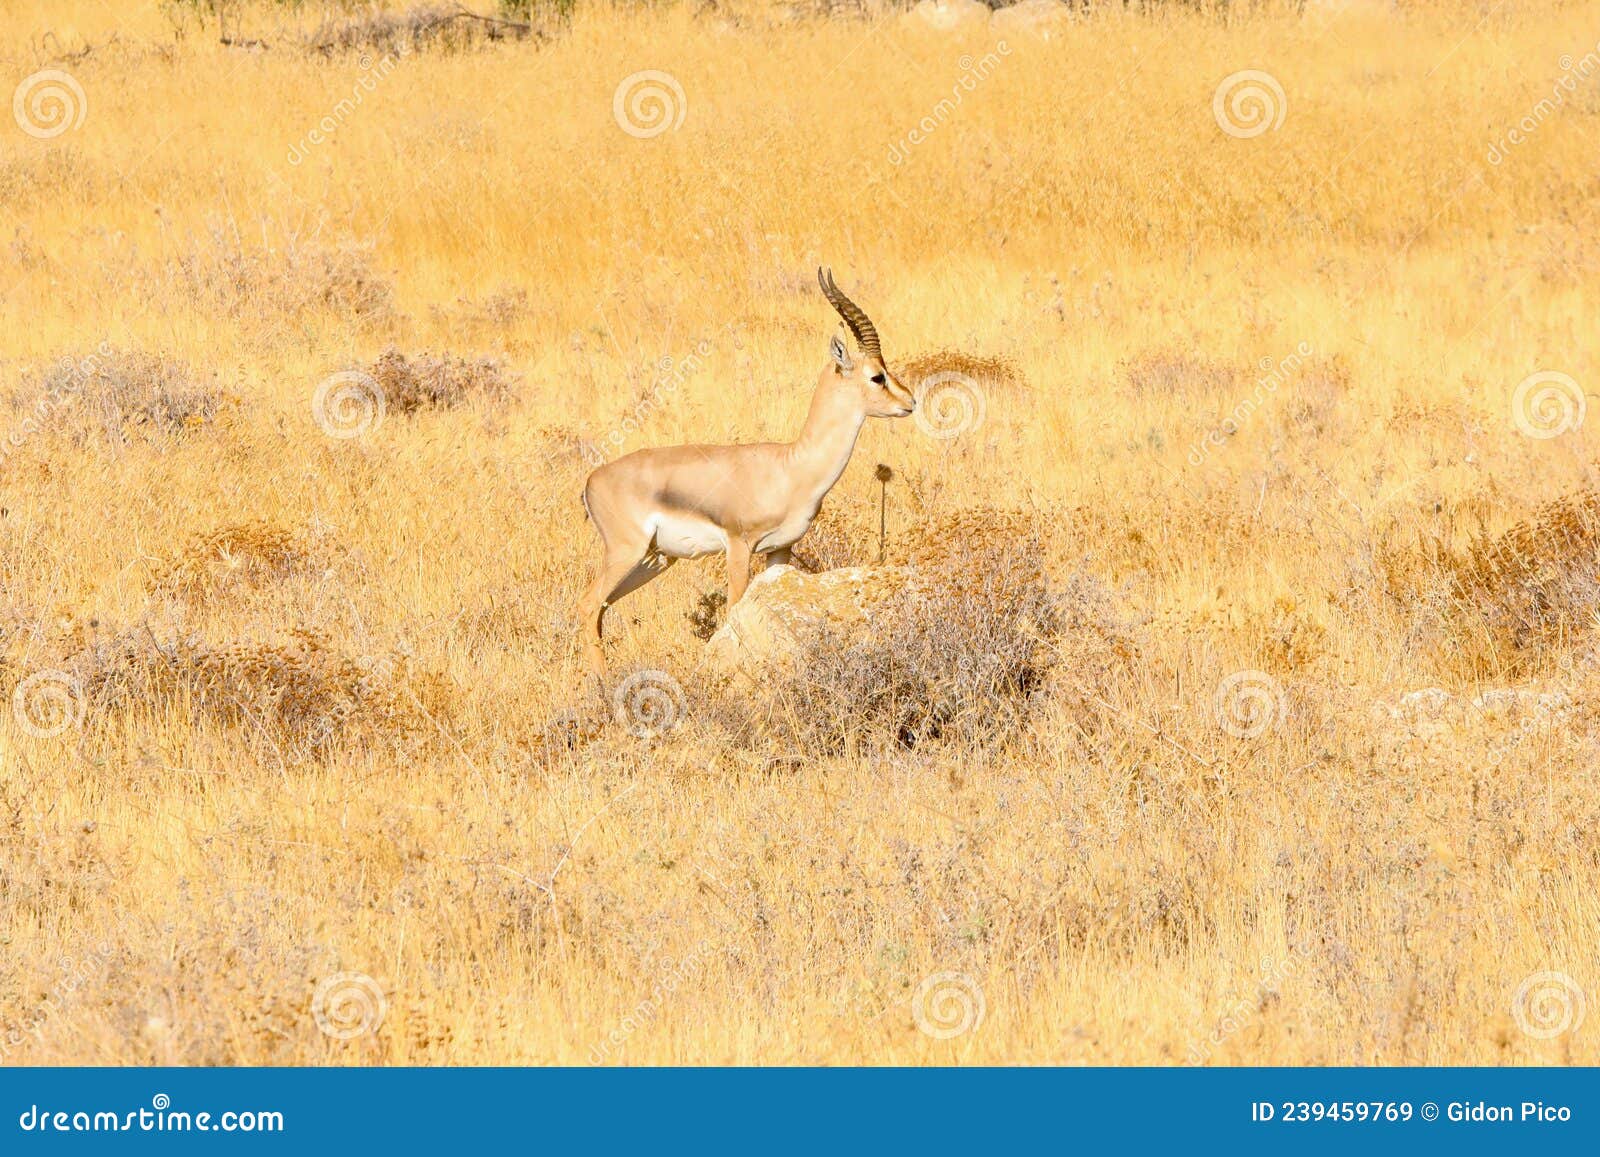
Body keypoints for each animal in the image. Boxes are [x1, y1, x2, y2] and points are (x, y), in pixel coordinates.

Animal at [578, 268, 916, 675]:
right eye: (877, 376)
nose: (911, 401)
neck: (790, 467)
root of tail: (592, 481)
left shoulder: (781, 549)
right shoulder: (739, 545)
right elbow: (733, 610)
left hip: (653, 559)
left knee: (601, 608)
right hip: (626, 552)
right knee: (588, 604)